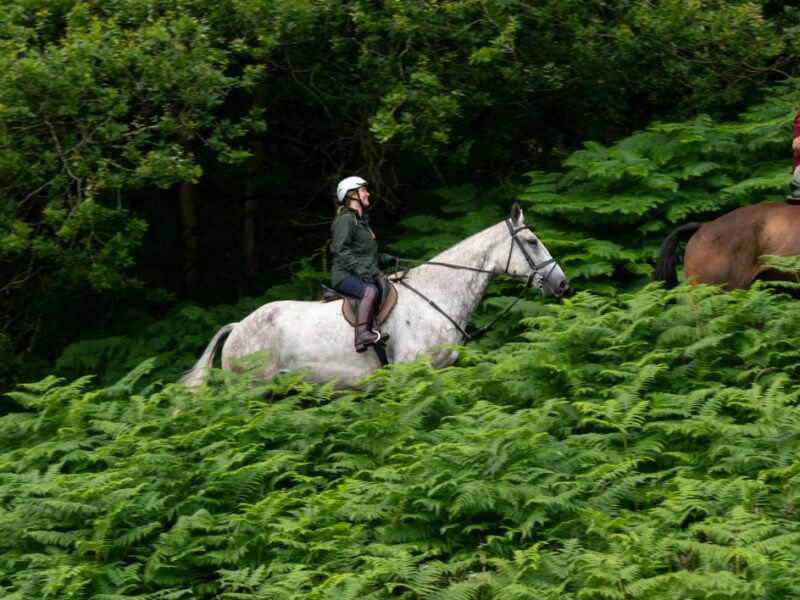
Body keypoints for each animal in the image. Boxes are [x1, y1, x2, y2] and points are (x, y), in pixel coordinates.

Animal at [179, 203, 568, 387]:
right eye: (531, 241)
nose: (562, 283)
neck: (436, 296)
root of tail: (238, 326)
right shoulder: (411, 372)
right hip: (251, 390)